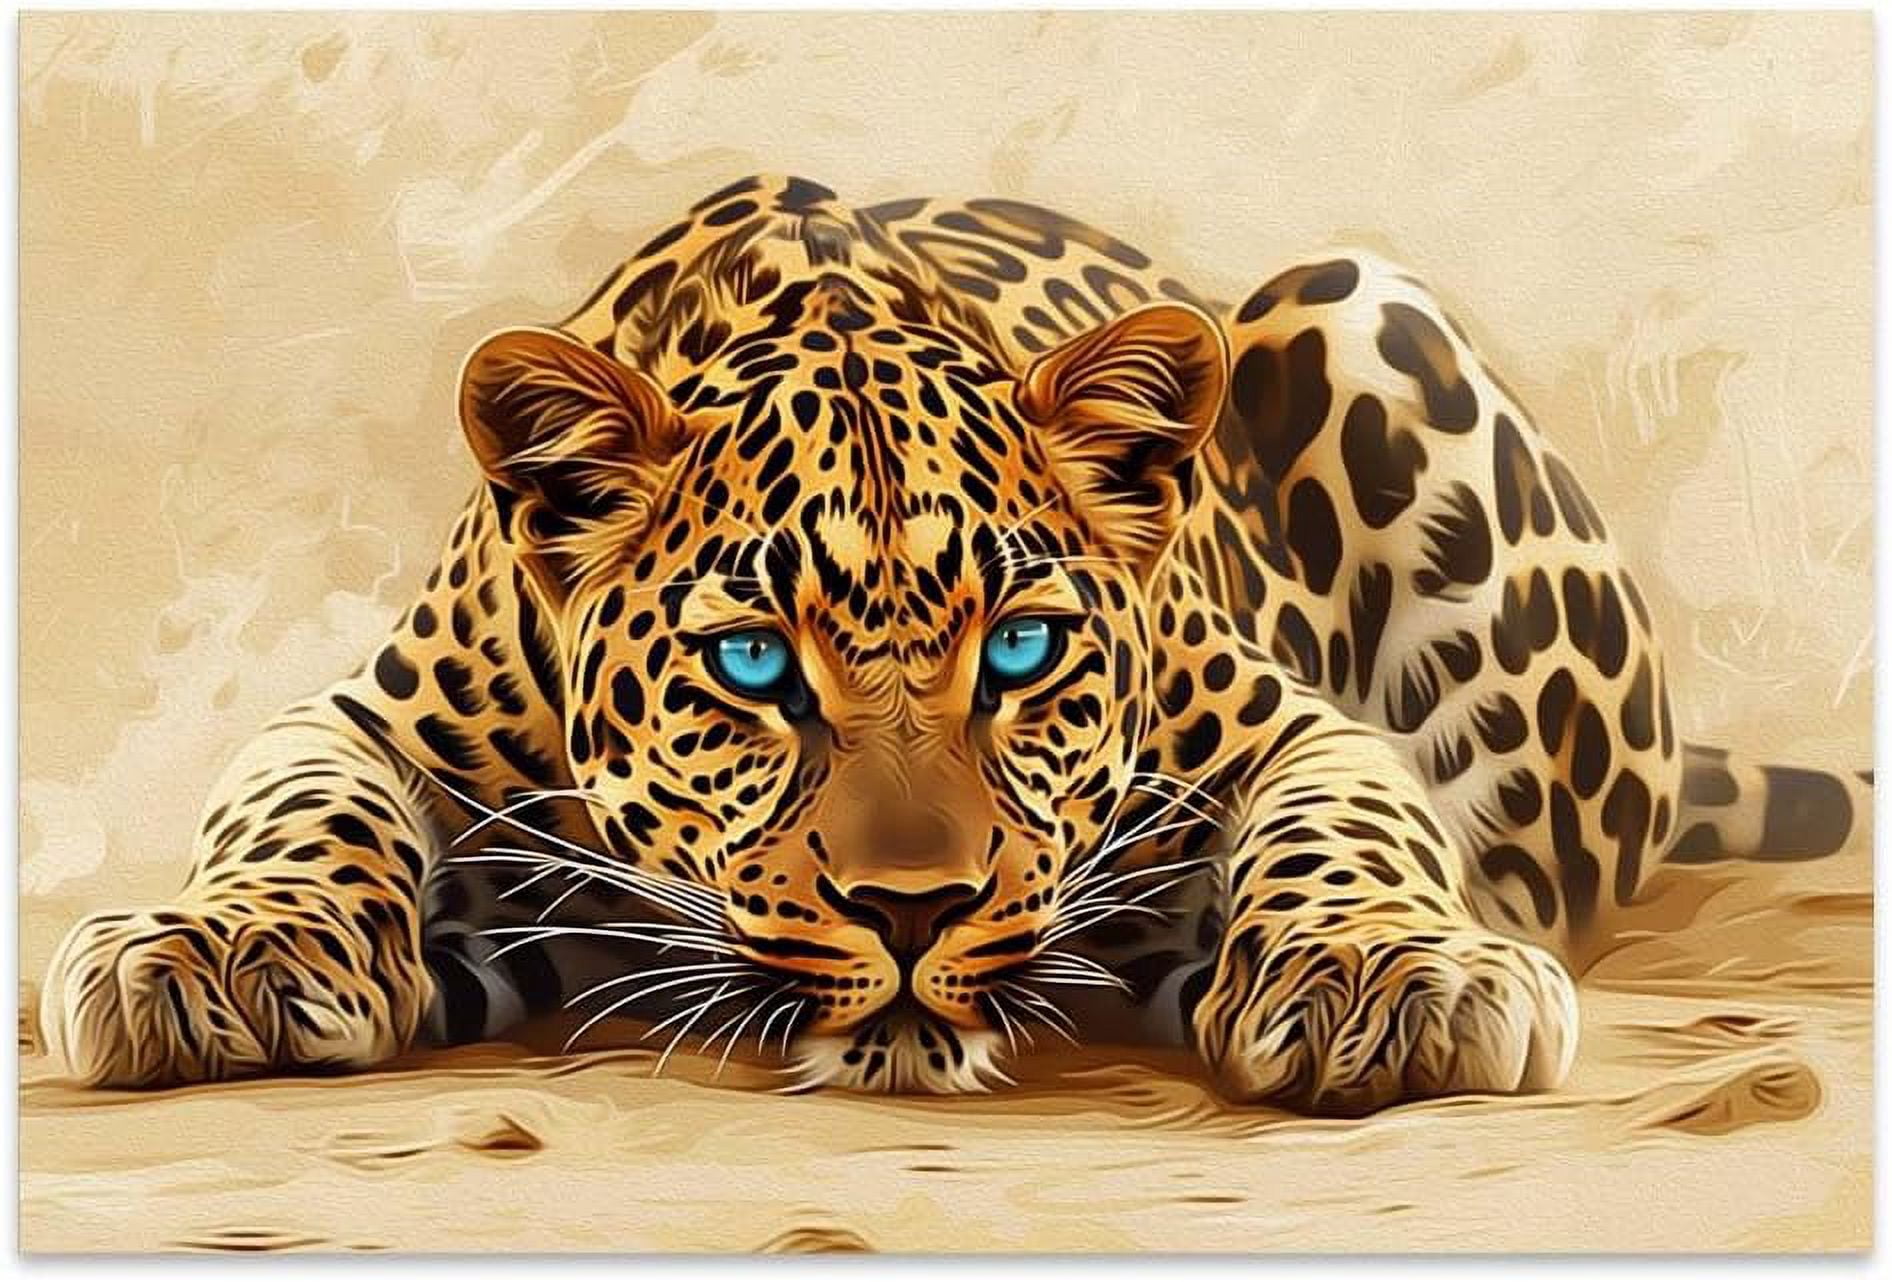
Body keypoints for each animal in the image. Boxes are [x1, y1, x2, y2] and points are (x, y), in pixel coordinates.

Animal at [42, 175, 1871, 1114]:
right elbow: (296, 802)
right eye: (752, 667)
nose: (911, 910)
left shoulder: (1278, 721)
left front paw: (1382, 974)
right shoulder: (384, 718)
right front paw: (213, 952)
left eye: (1025, 651)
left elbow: (1347, 816)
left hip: (1358, 302)